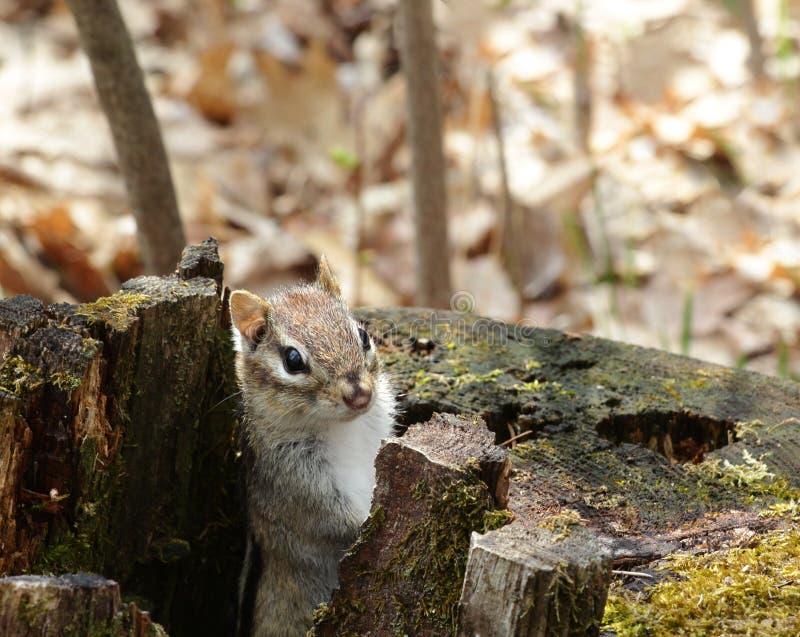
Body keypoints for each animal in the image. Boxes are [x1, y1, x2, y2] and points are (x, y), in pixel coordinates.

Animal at [229, 256, 396, 637]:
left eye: (363, 336)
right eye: (292, 360)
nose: (360, 394)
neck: (342, 430)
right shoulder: (297, 482)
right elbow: (334, 520)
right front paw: (365, 523)